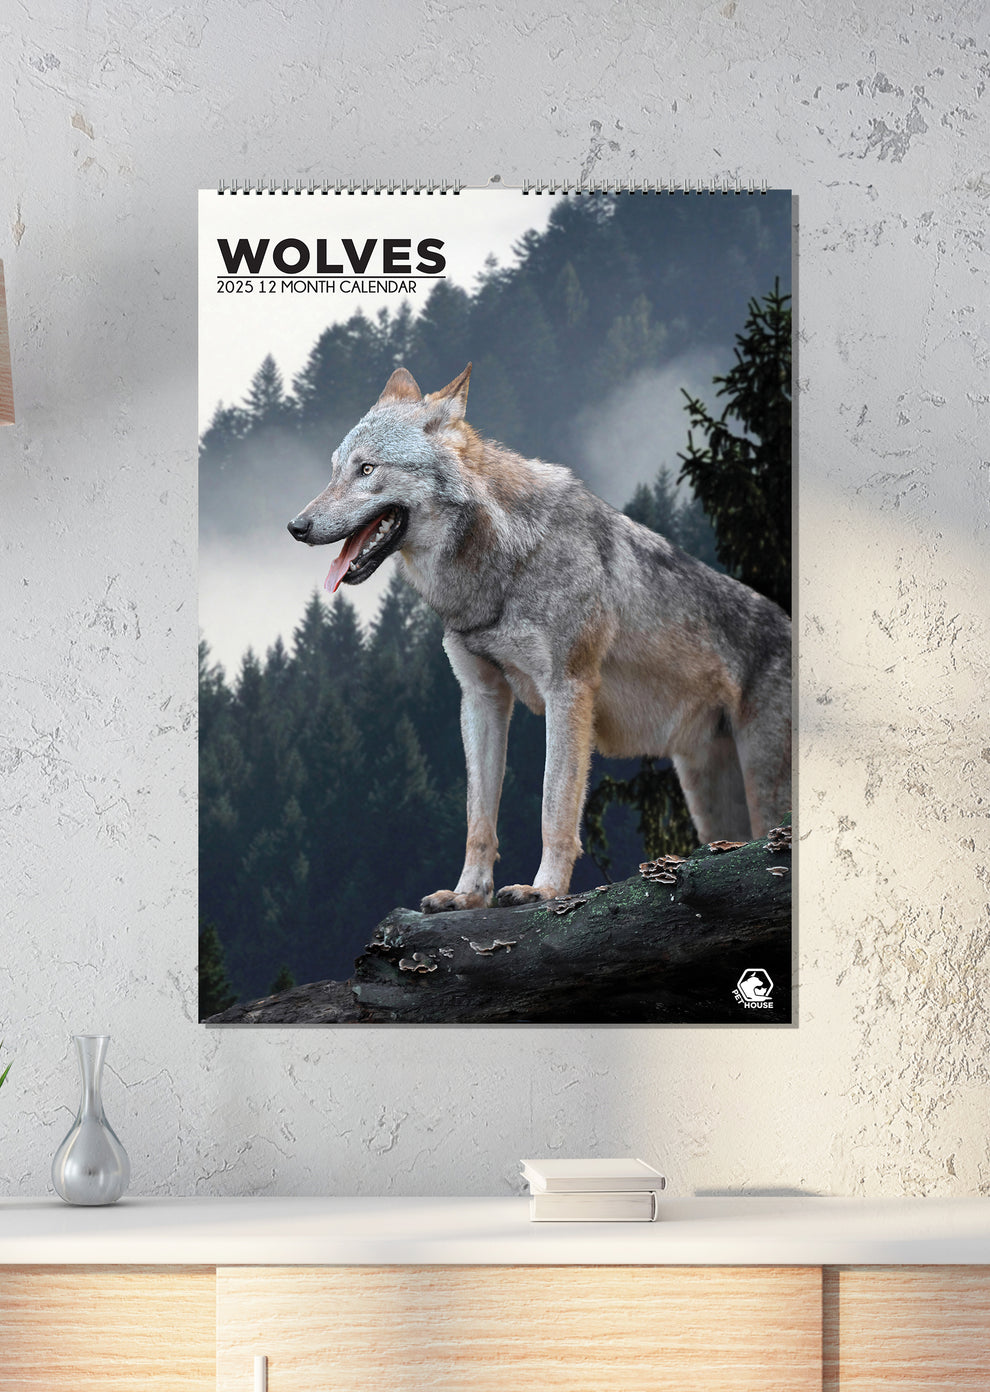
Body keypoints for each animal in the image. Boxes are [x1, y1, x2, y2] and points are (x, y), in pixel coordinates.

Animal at [288, 364, 791, 913]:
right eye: (334, 470)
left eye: (367, 469)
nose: (296, 526)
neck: (502, 565)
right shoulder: (481, 697)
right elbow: (478, 819)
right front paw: (467, 895)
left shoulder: (567, 690)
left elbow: (554, 806)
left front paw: (544, 889)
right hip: (709, 801)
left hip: (762, 787)